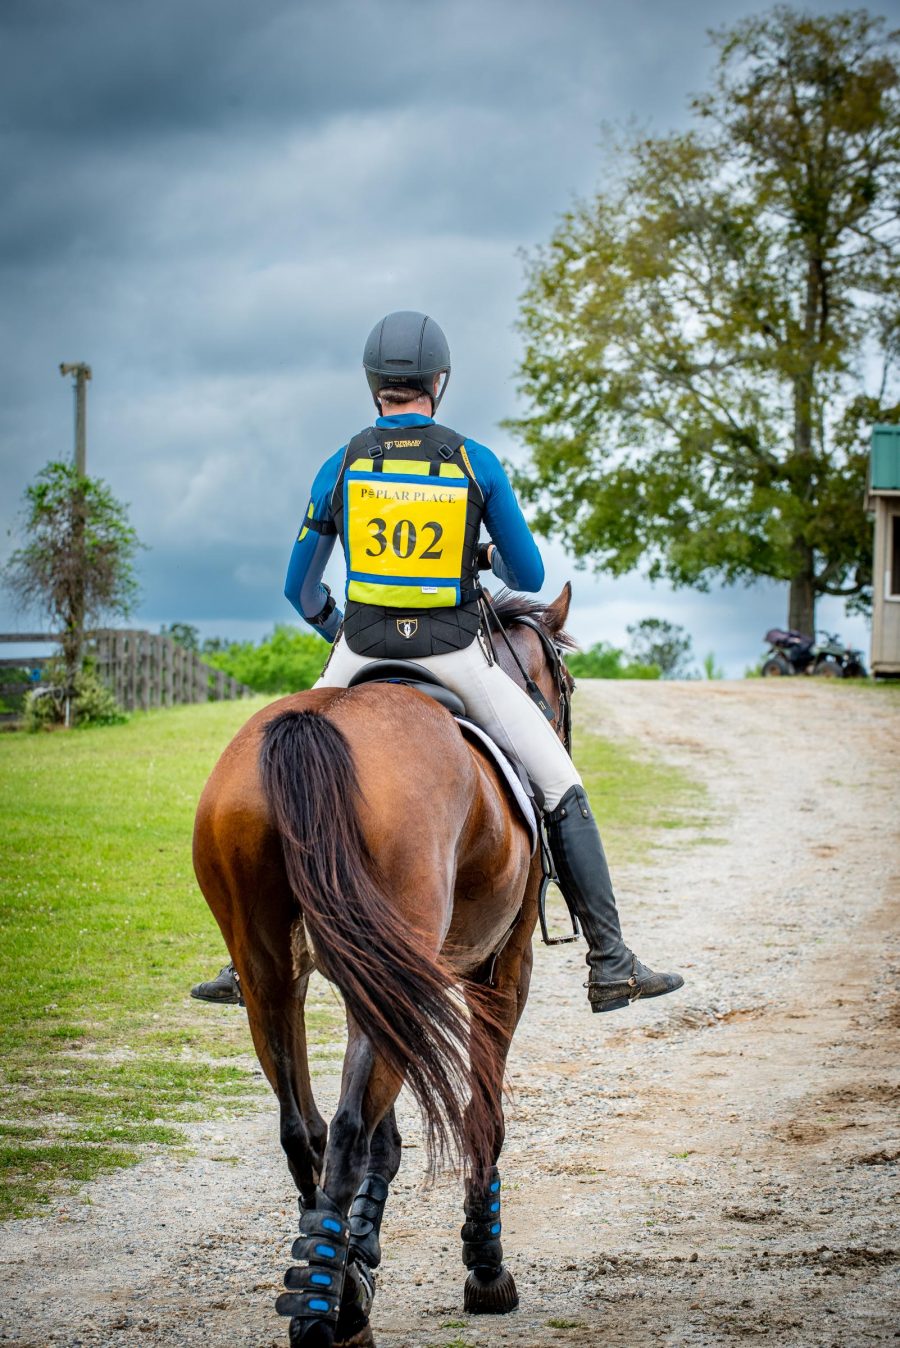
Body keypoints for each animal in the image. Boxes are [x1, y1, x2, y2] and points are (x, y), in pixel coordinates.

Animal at [192, 584, 575, 1348]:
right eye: (566, 685)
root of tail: (314, 729)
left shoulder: (371, 975)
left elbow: (385, 1137)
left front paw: (360, 1255)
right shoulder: (501, 969)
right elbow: (480, 1114)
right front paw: (485, 1268)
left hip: (271, 971)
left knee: (306, 1128)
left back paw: (329, 1284)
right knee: (343, 1129)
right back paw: (328, 1312)